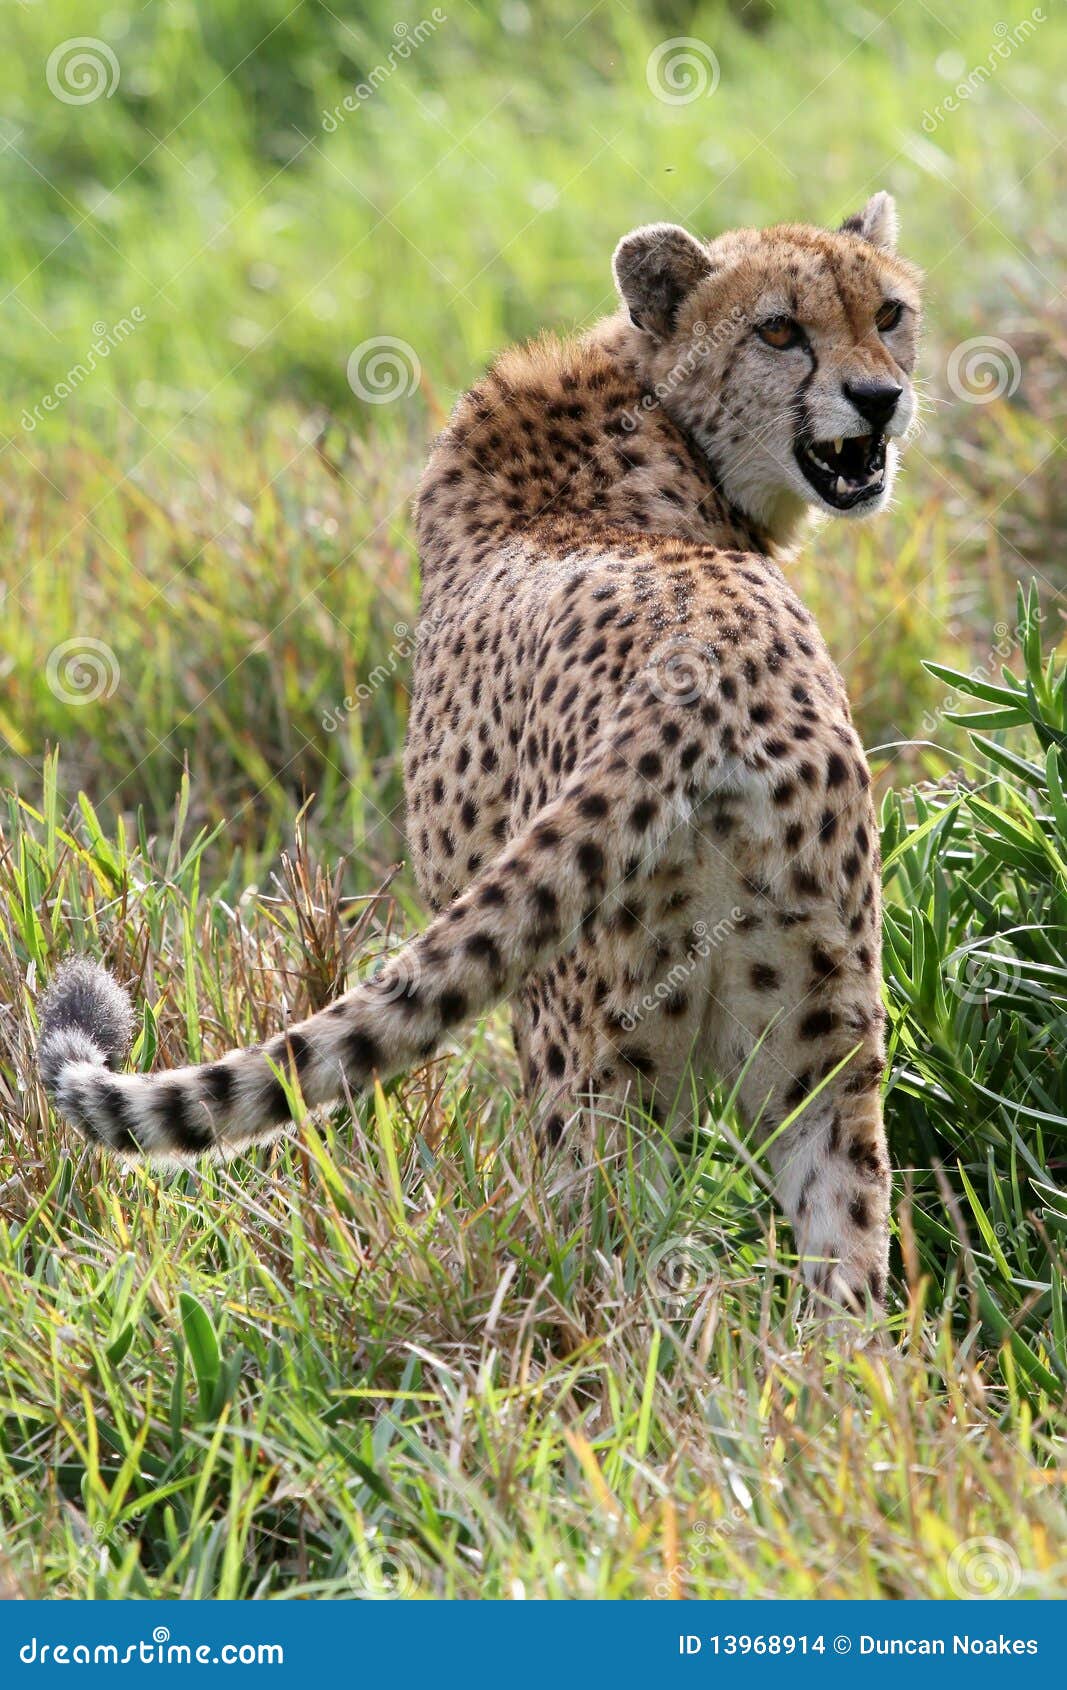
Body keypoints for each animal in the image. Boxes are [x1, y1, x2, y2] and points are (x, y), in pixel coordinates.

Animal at [38, 192, 922, 1315]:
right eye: (778, 330)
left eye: (886, 313)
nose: (878, 398)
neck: (652, 416)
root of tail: (707, 671)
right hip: (821, 1047)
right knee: (842, 1286)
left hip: (590, 1074)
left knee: (608, 1275)